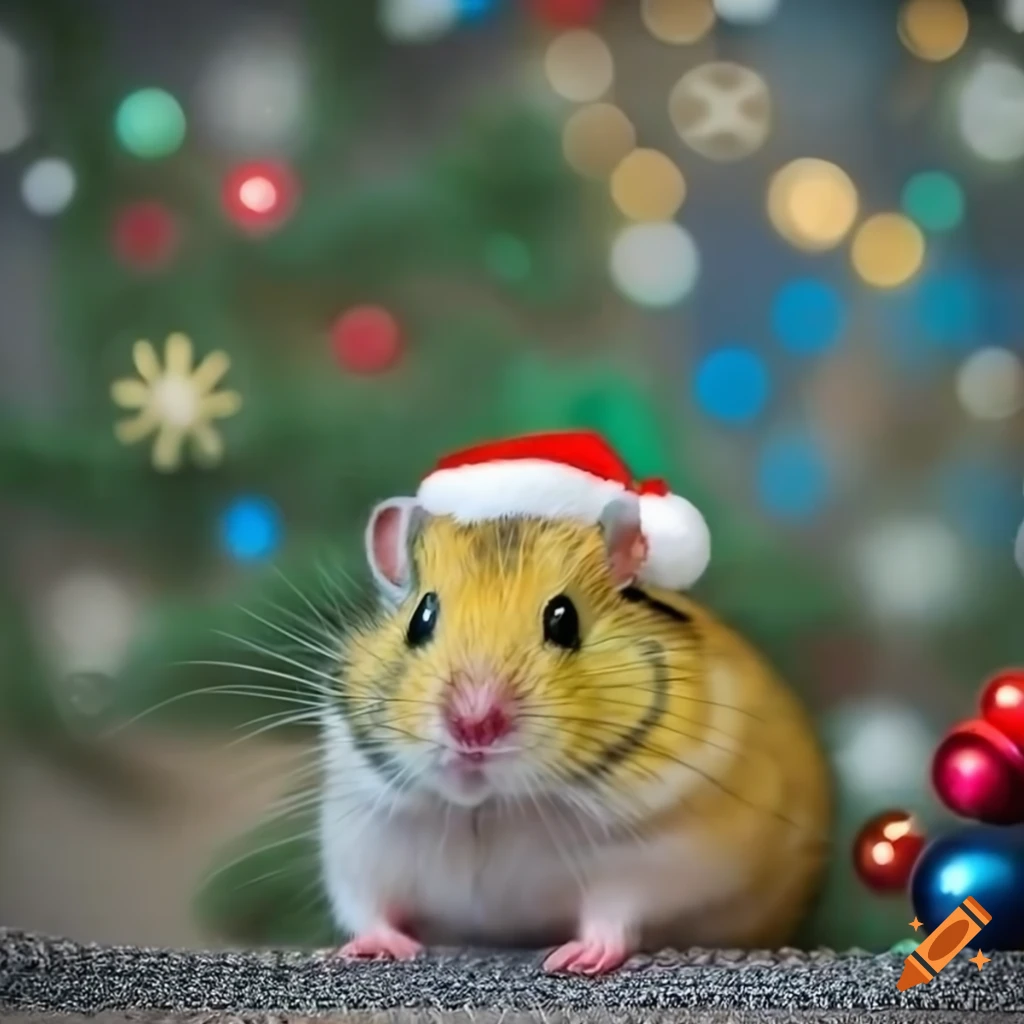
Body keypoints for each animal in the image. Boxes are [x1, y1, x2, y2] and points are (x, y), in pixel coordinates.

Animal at [320, 497, 832, 974]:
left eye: (564, 620)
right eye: (420, 620)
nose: (473, 727)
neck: (492, 810)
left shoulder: (656, 861)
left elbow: (615, 911)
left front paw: (575, 961)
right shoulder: (356, 845)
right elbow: (366, 907)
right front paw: (375, 949)